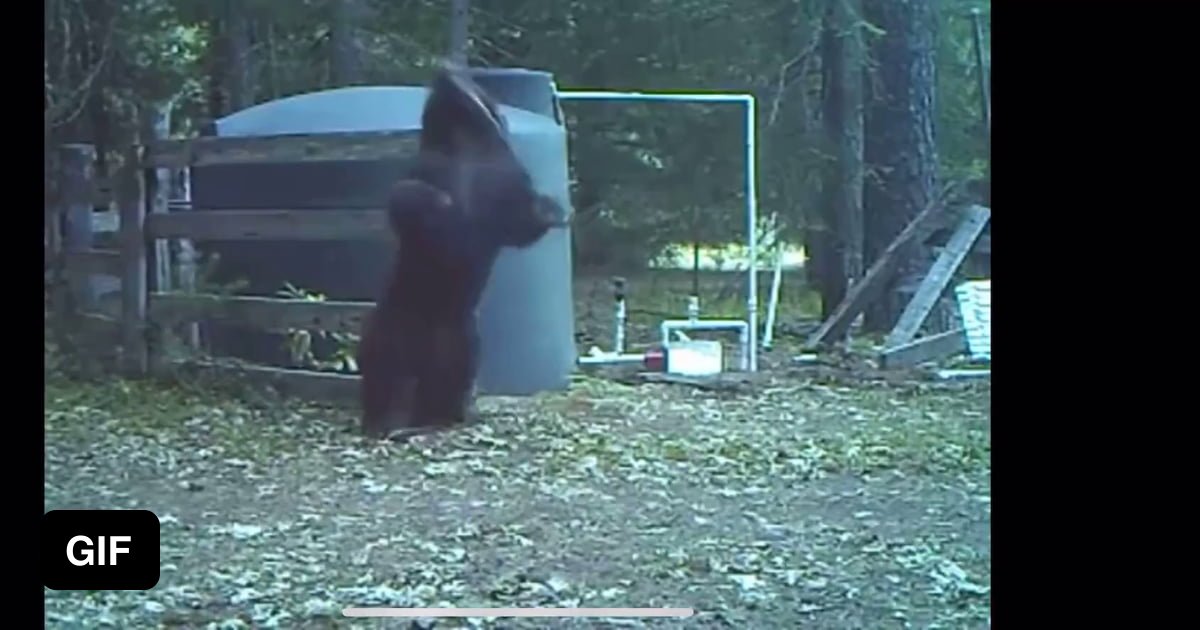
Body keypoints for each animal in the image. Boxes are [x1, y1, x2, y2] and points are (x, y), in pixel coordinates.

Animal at [356, 64, 569, 440]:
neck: (463, 144)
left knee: (446, 383)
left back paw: (447, 416)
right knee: (384, 374)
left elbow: (522, 221)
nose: (445, 67)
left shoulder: (508, 189)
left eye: (476, 84)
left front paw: (553, 210)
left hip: (462, 343)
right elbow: (407, 197)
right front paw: (435, 202)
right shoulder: (425, 172)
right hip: (388, 331)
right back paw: (385, 422)